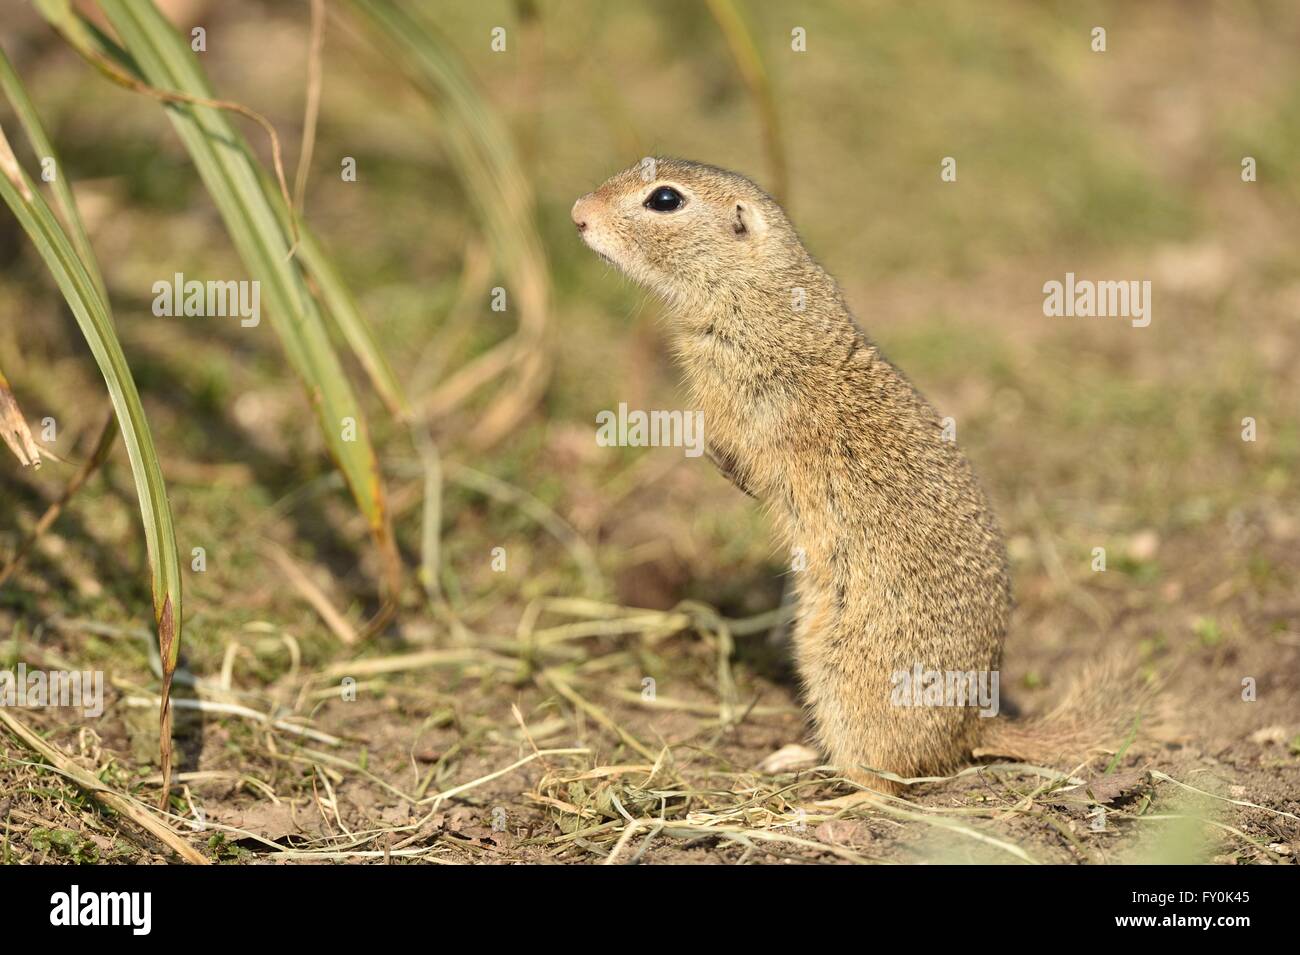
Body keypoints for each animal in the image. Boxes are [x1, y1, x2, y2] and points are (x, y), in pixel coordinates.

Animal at [573, 158, 1146, 795]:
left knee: (883, 777)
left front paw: (727, 468)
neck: (753, 292)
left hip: (843, 674)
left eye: (665, 200)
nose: (577, 214)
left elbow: (733, 443)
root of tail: (972, 727)